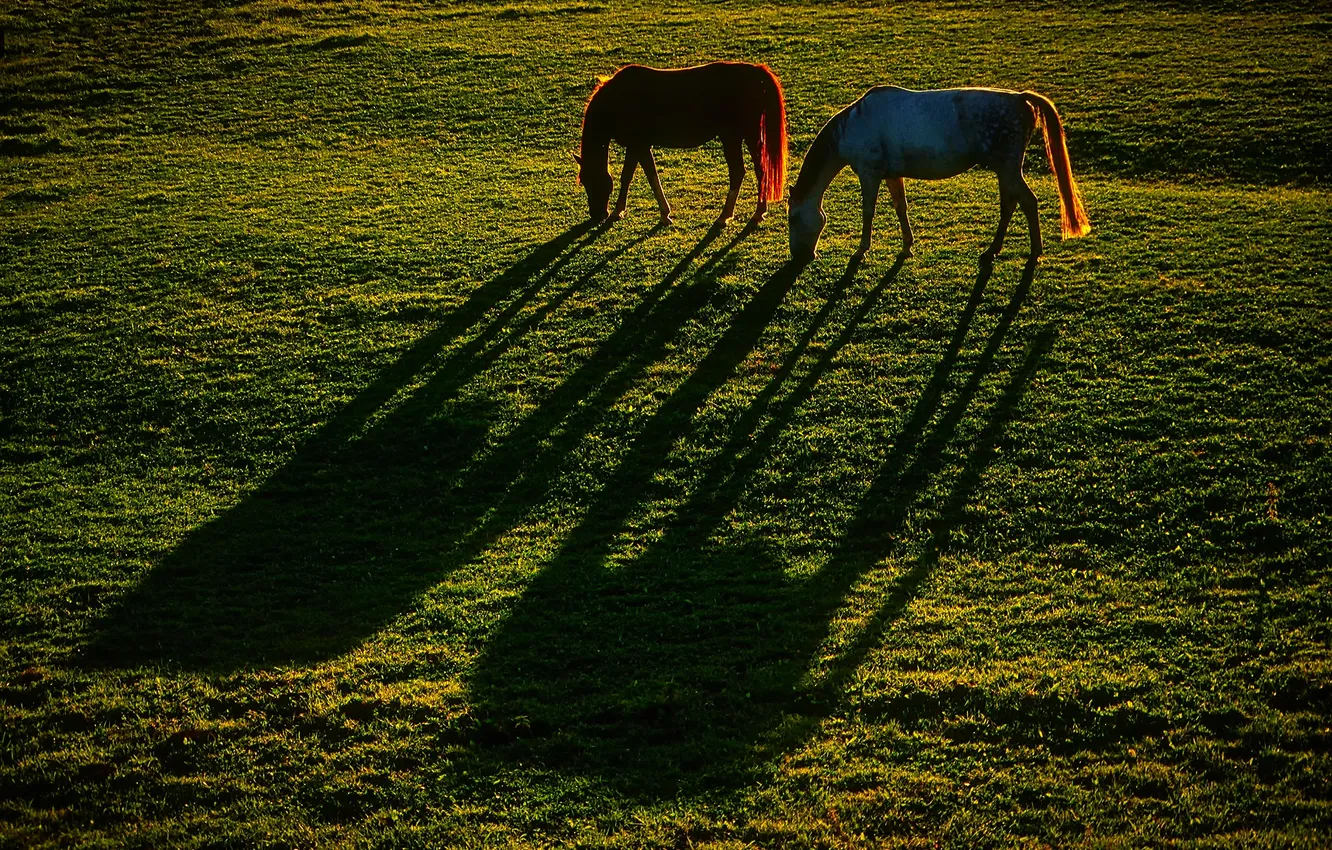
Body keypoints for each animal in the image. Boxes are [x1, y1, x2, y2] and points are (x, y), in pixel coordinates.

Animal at [575, 62, 787, 226]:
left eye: (592, 180)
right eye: (583, 181)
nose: (597, 215)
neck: (617, 100)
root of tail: (756, 72)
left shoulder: (638, 145)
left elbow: (638, 176)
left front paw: (628, 212)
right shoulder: (638, 147)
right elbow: (636, 176)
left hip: (733, 138)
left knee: (738, 172)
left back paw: (724, 216)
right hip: (749, 137)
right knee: (760, 170)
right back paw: (759, 212)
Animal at [788, 86, 1091, 263]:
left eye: (792, 218)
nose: (799, 256)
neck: (854, 124)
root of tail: (1020, 99)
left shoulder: (869, 174)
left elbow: (868, 211)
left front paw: (863, 248)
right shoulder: (891, 175)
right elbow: (901, 207)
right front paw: (907, 245)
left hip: (1007, 168)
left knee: (1027, 202)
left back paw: (1033, 251)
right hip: (1005, 170)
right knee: (1010, 204)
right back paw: (993, 249)